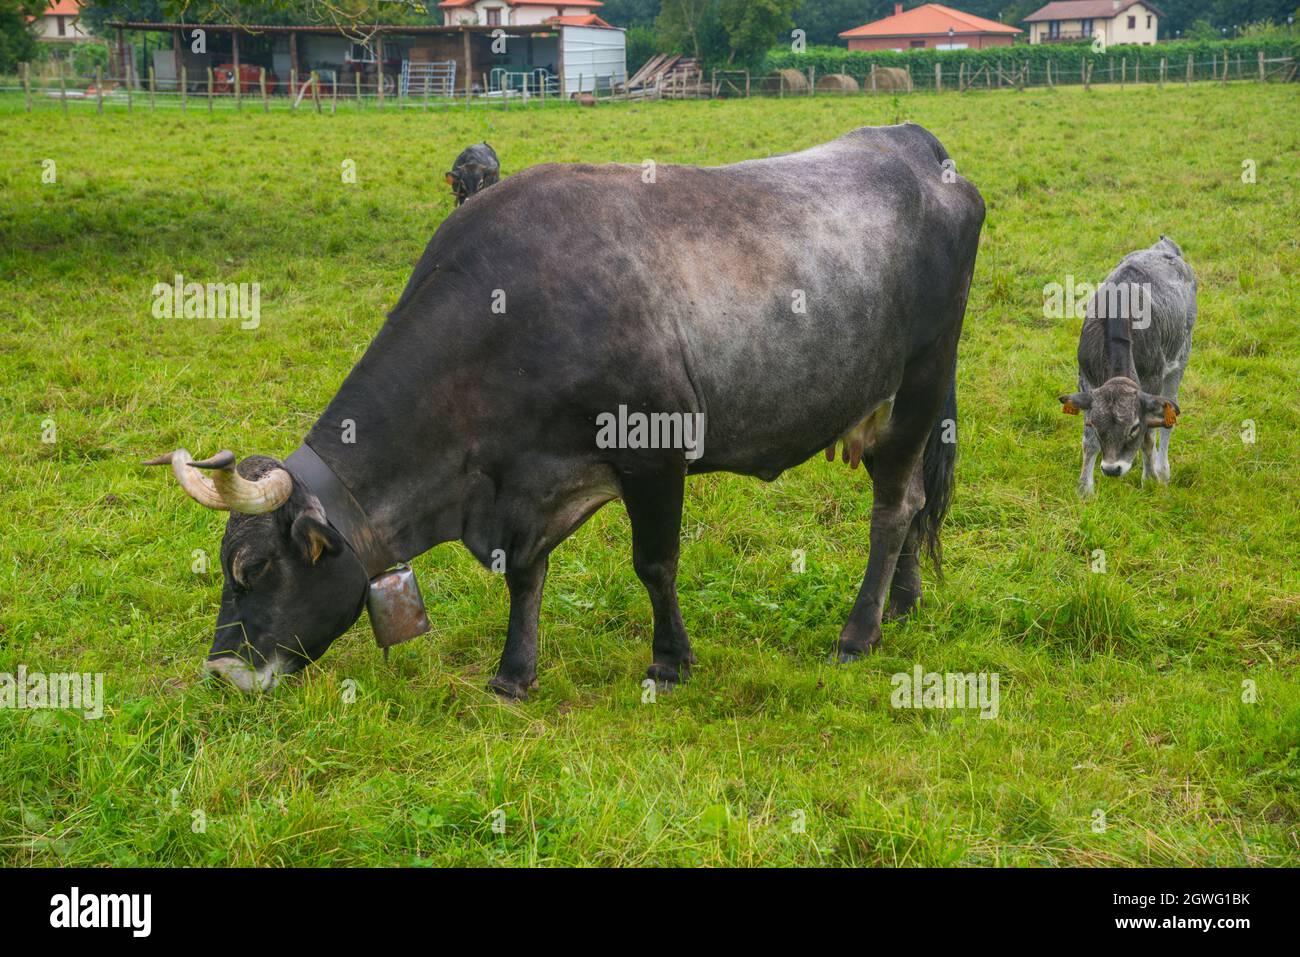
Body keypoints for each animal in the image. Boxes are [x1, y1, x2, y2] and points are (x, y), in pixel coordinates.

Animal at [148, 123, 985, 698]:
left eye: (254, 567)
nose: (222, 673)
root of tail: (913, 144)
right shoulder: (523, 484)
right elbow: (525, 575)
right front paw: (513, 672)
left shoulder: (655, 446)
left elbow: (655, 562)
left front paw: (669, 660)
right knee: (913, 502)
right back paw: (902, 602)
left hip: (917, 385)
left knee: (894, 506)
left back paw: (858, 631)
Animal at [1058, 236, 1195, 497]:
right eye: (1098, 425)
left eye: (1133, 427)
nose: (1112, 469)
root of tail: (1163, 247)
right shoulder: (1086, 380)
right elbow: (1088, 441)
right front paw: (1084, 490)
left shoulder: (1153, 379)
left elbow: (1148, 435)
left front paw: (1150, 479)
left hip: (1180, 359)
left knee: (1168, 421)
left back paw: (1162, 471)